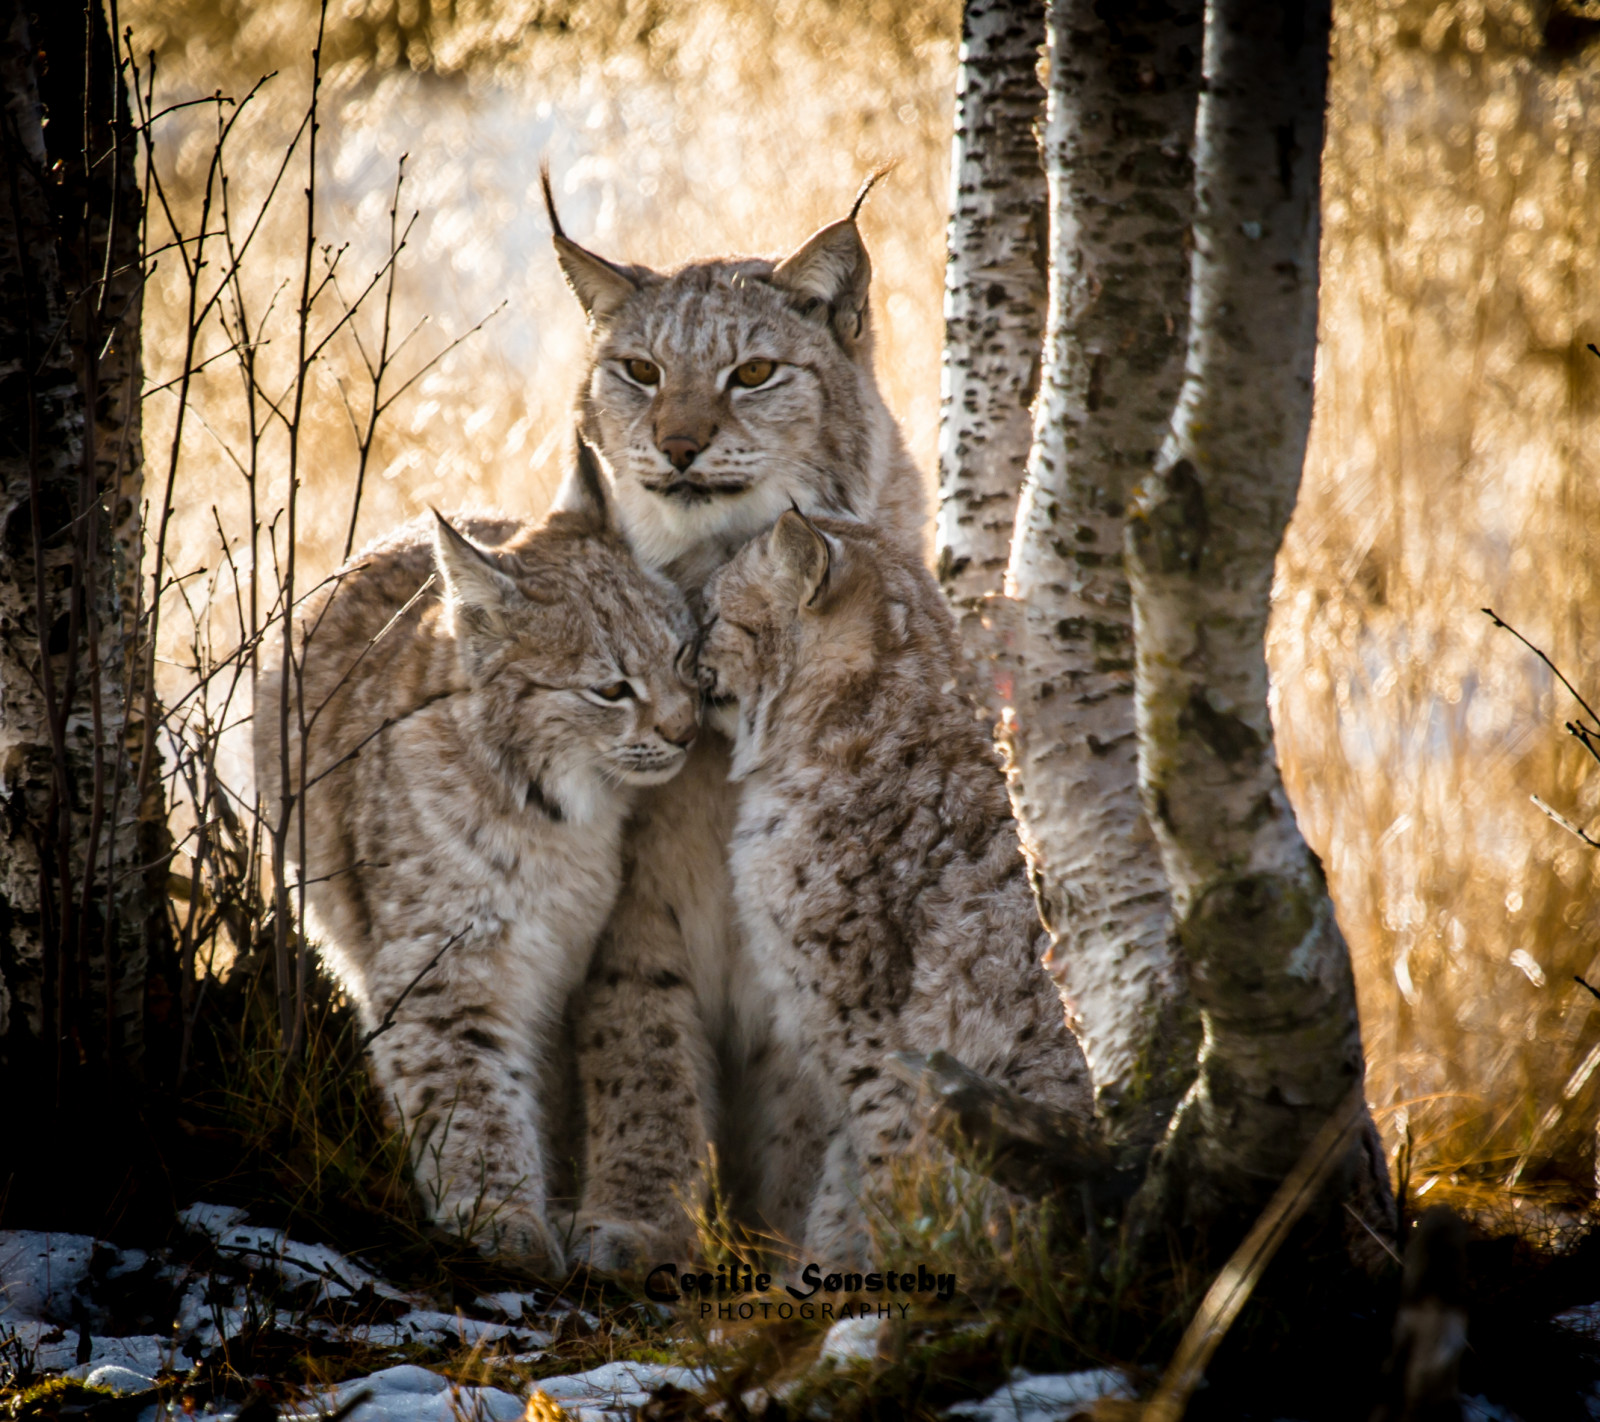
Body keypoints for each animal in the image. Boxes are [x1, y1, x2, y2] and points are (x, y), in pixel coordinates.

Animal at [256, 444, 694, 1266]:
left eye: (684, 653)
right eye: (611, 690)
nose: (687, 733)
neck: (556, 812)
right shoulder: (444, 960)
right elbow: (466, 1087)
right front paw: (501, 1215)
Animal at [700, 511, 1100, 1266]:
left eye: (710, 618)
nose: (681, 656)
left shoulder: (867, 1019)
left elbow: (882, 1148)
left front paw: (883, 1269)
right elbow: (845, 1167)